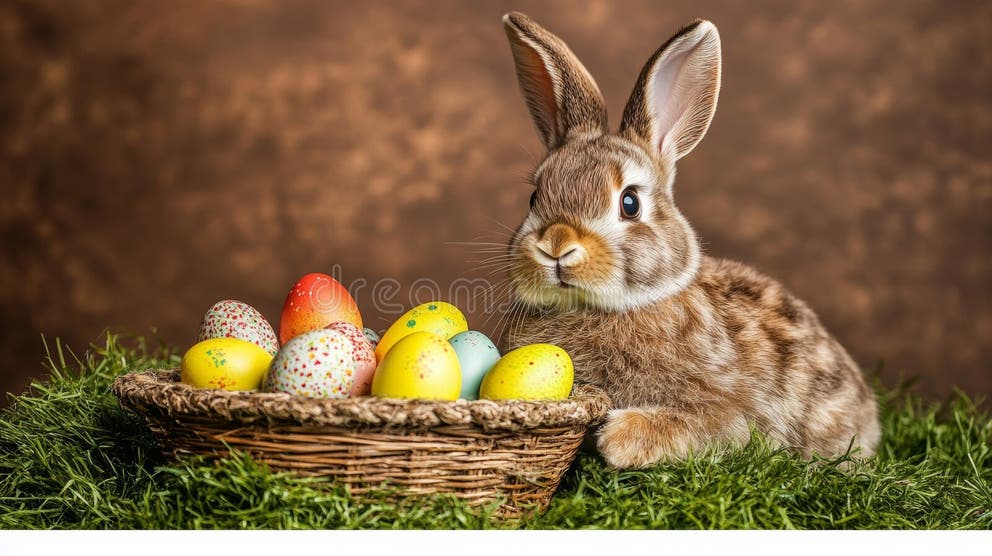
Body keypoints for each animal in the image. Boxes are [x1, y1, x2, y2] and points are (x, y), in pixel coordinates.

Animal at [497, 12, 881, 469]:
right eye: (534, 196)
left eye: (629, 203)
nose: (555, 245)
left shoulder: (737, 415)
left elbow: (713, 426)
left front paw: (619, 438)